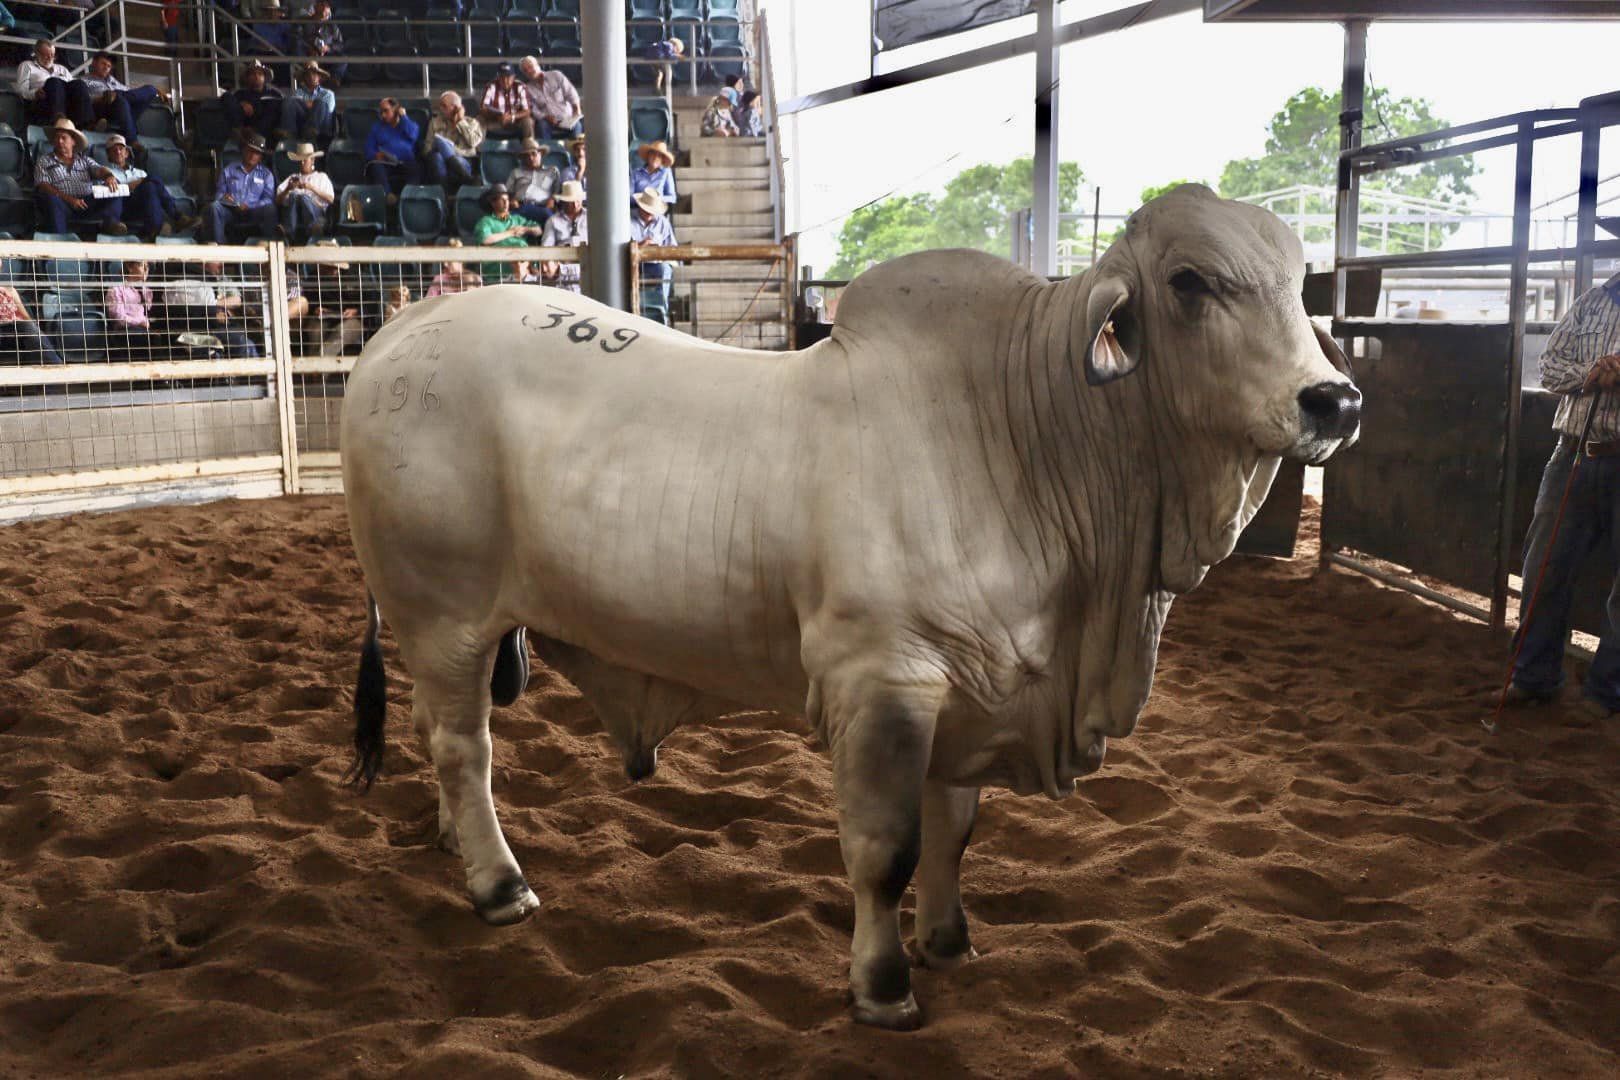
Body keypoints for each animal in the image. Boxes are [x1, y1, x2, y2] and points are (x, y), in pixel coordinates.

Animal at [339, 184, 1360, 1030]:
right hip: (444, 613)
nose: (1335, 399)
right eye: (1190, 281)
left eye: (1298, 282)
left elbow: (956, 833)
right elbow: (886, 850)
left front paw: (949, 942)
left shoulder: (979, 683)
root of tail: (398, 334)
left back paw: (452, 842)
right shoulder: (883, 684)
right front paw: (883, 985)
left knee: (443, 741)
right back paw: (497, 882)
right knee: (463, 747)